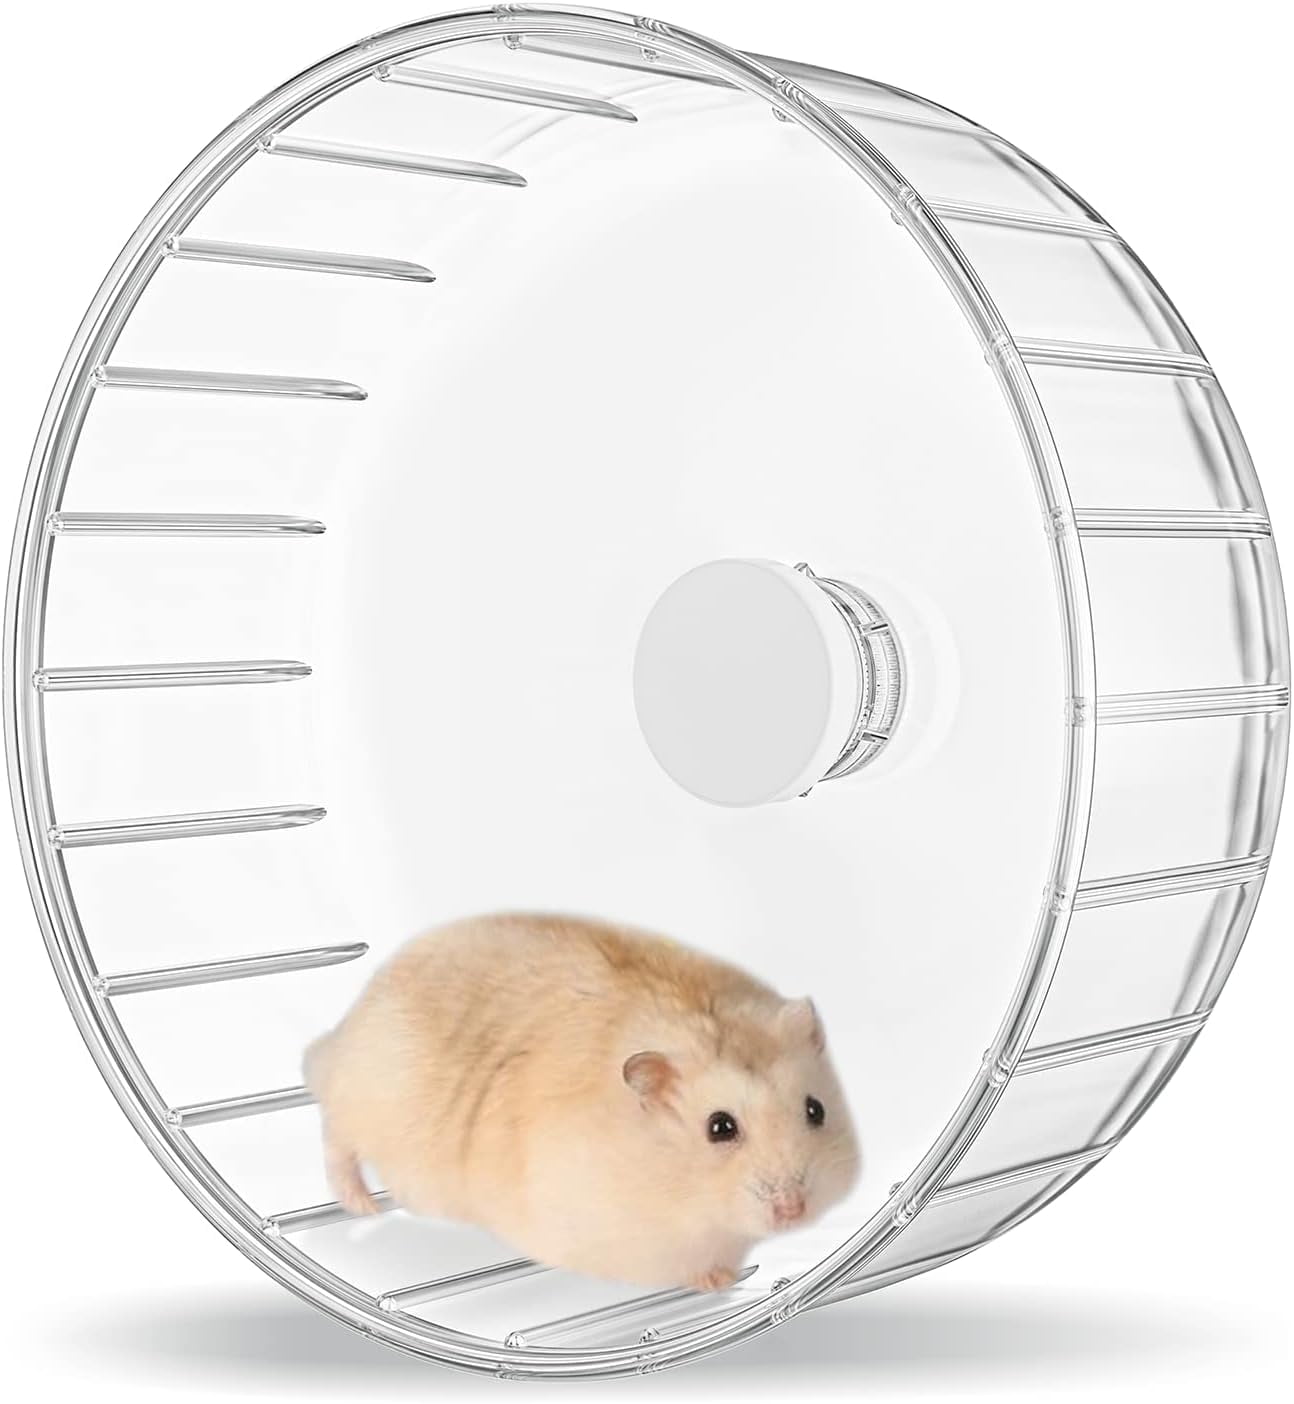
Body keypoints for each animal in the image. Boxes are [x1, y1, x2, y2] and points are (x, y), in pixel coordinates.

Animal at [304, 913, 861, 1290]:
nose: (794, 1211)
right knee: (335, 1140)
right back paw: (362, 1205)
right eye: (720, 1127)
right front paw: (720, 1281)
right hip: (360, 1099)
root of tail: (351, 1023)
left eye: (816, 1110)